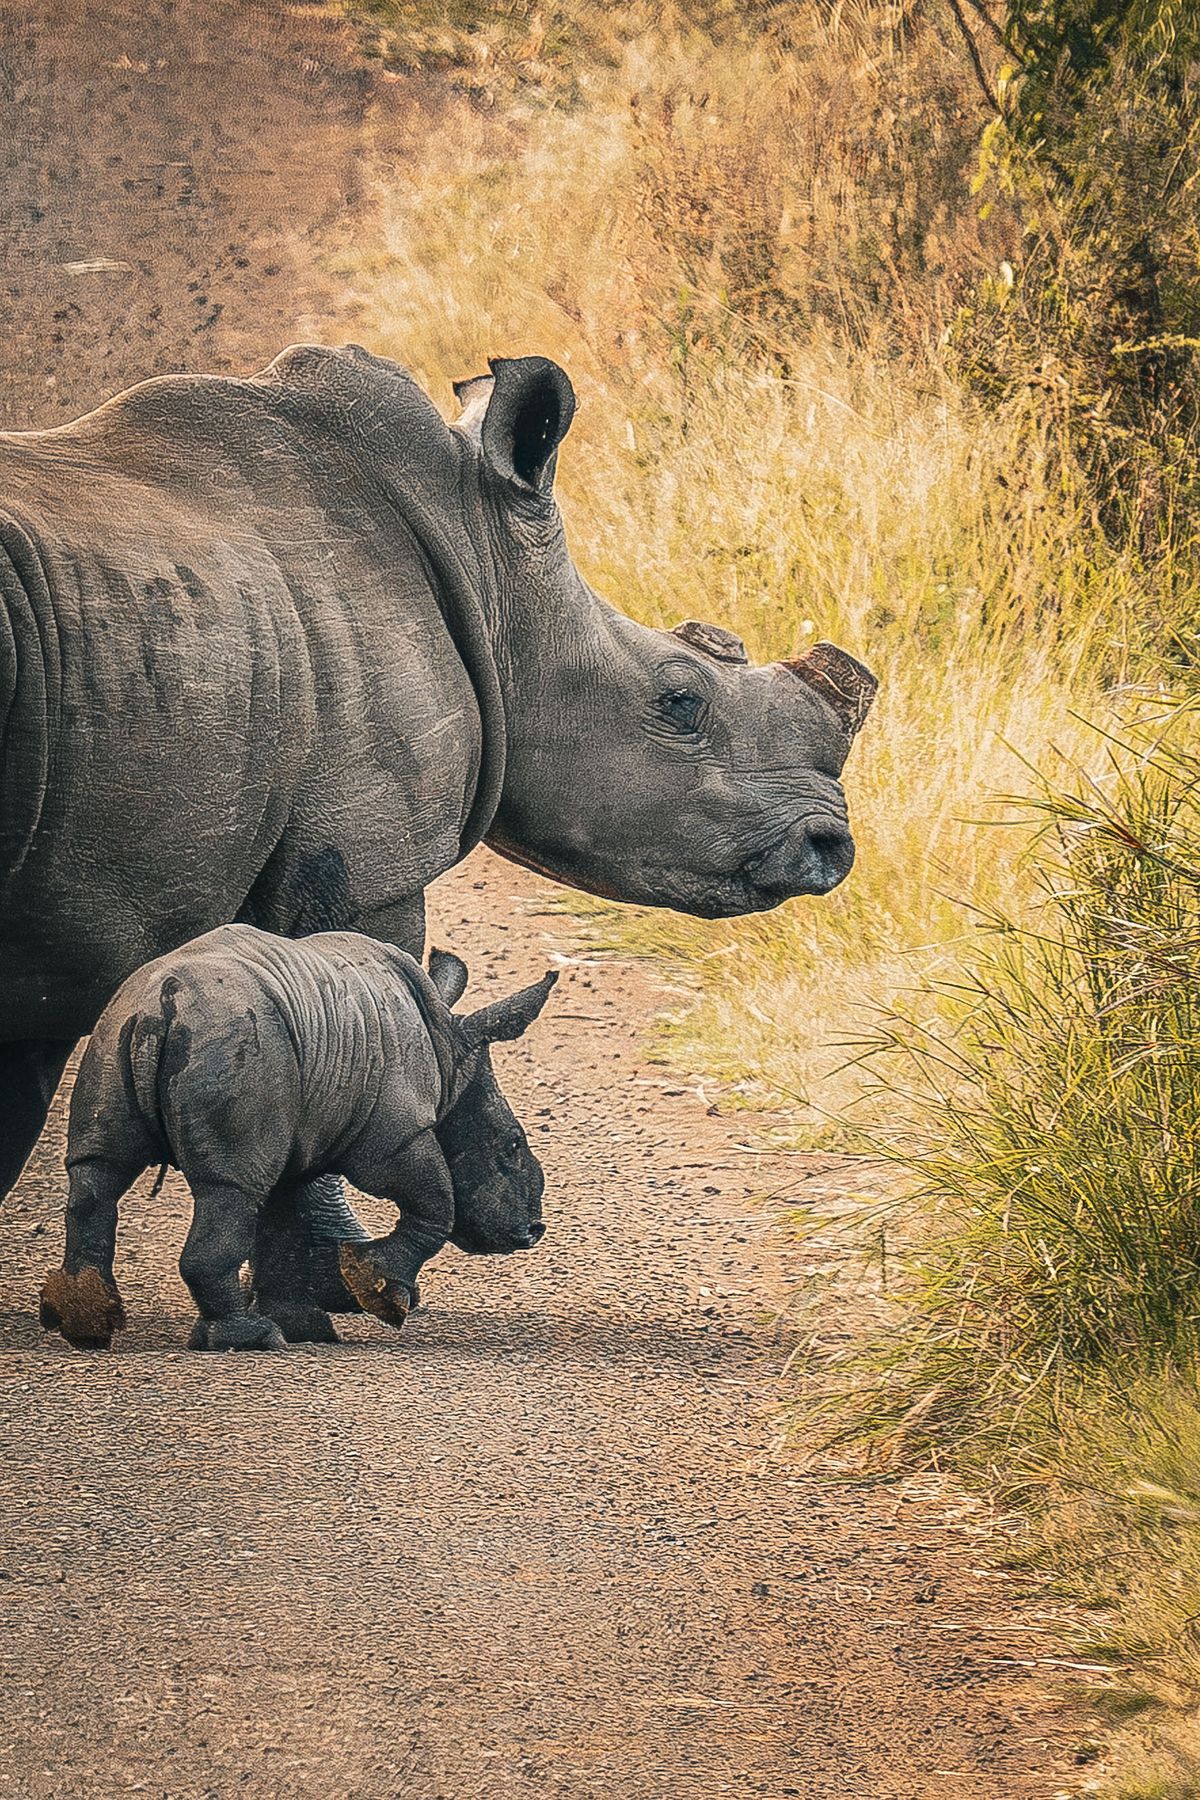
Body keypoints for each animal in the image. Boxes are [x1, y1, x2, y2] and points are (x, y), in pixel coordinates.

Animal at [39, 927, 555, 1351]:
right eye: (511, 1145)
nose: (533, 1230)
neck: (451, 1058)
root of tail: (163, 1006)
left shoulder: (297, 1136)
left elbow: (283, 1219)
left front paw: (306, 1328)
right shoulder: (396, 1134)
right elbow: (436, 1204)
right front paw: (382, 1295)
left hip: (116, 1032)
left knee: (98, 1172)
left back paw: (83, 1325)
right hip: (239, 1046)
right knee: (232, 1190)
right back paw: (248, 1340)